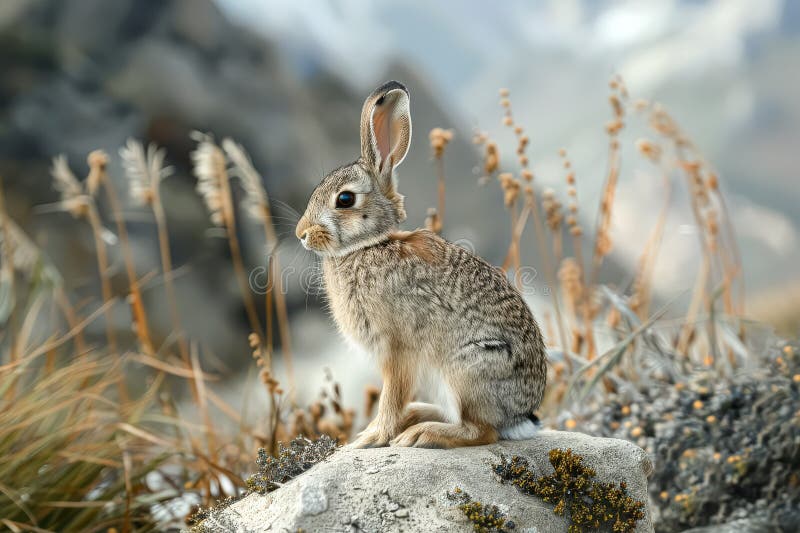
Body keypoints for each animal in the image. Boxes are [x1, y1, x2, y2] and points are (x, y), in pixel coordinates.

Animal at [295, 81, 547, 448]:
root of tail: (521, 416)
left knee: (479, 430)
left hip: (466, 370)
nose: (301, 234)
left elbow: (390, 398)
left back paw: (420, 434)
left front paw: (370, 438)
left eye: (344, 199)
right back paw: (416, 418)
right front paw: (368, 435)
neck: (368, 246)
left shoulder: (397, 352)